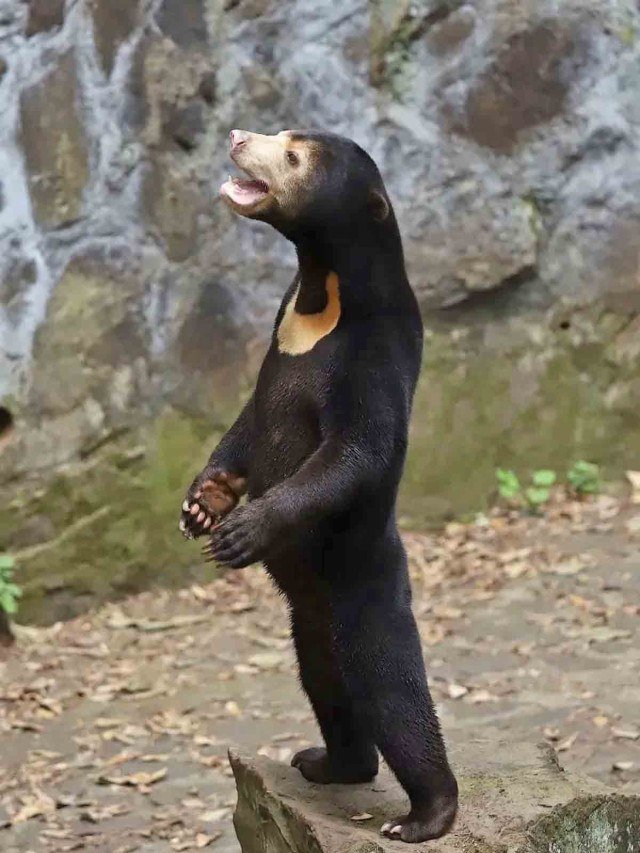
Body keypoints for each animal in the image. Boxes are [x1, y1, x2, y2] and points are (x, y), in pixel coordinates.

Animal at [180, 129, 458, 842]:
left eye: (293, 157)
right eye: (283, 133)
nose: (236, 135)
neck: (321, 290)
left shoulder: (372, 352)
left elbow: (356, 450)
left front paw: (242, 531)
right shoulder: (279, 334)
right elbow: (250, 422)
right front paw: (201, 505)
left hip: (362, 588)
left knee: (391, 689)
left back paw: (426, 815)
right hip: (310, 619)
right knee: (325, 681)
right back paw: (328, 762)